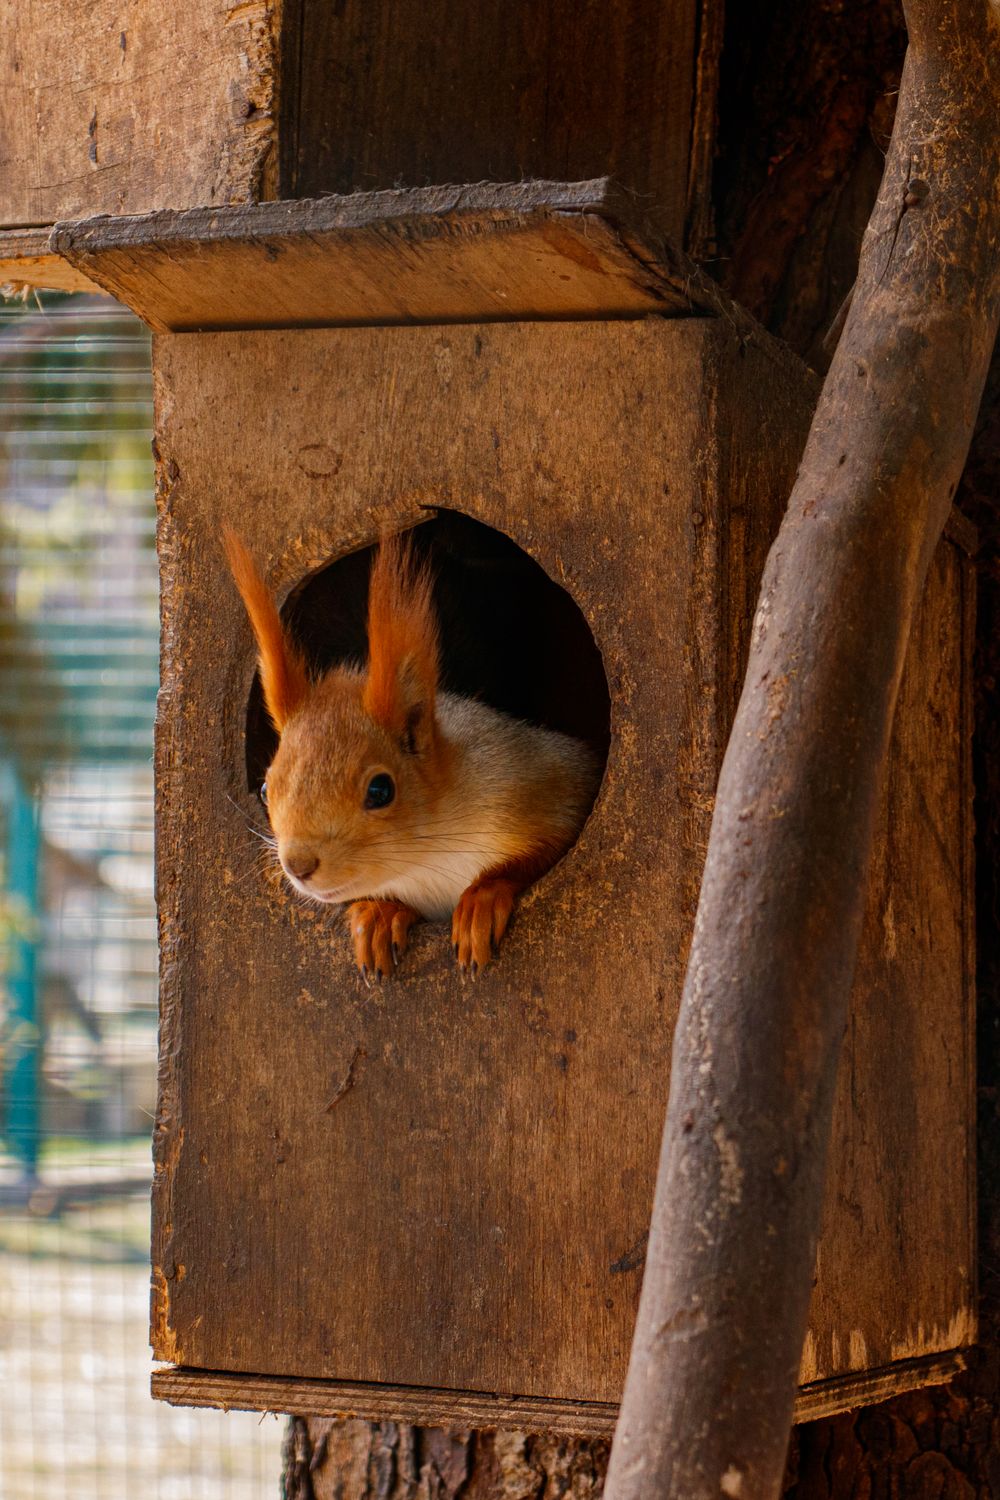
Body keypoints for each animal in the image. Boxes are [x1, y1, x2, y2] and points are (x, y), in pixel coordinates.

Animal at [224, 527, 600, 978]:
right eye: (266, 789)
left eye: (380, 790)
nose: (298, 865)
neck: (423, 860)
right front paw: (380, 915)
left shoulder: (535, 782)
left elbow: (551, 842)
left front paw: (483, 898)